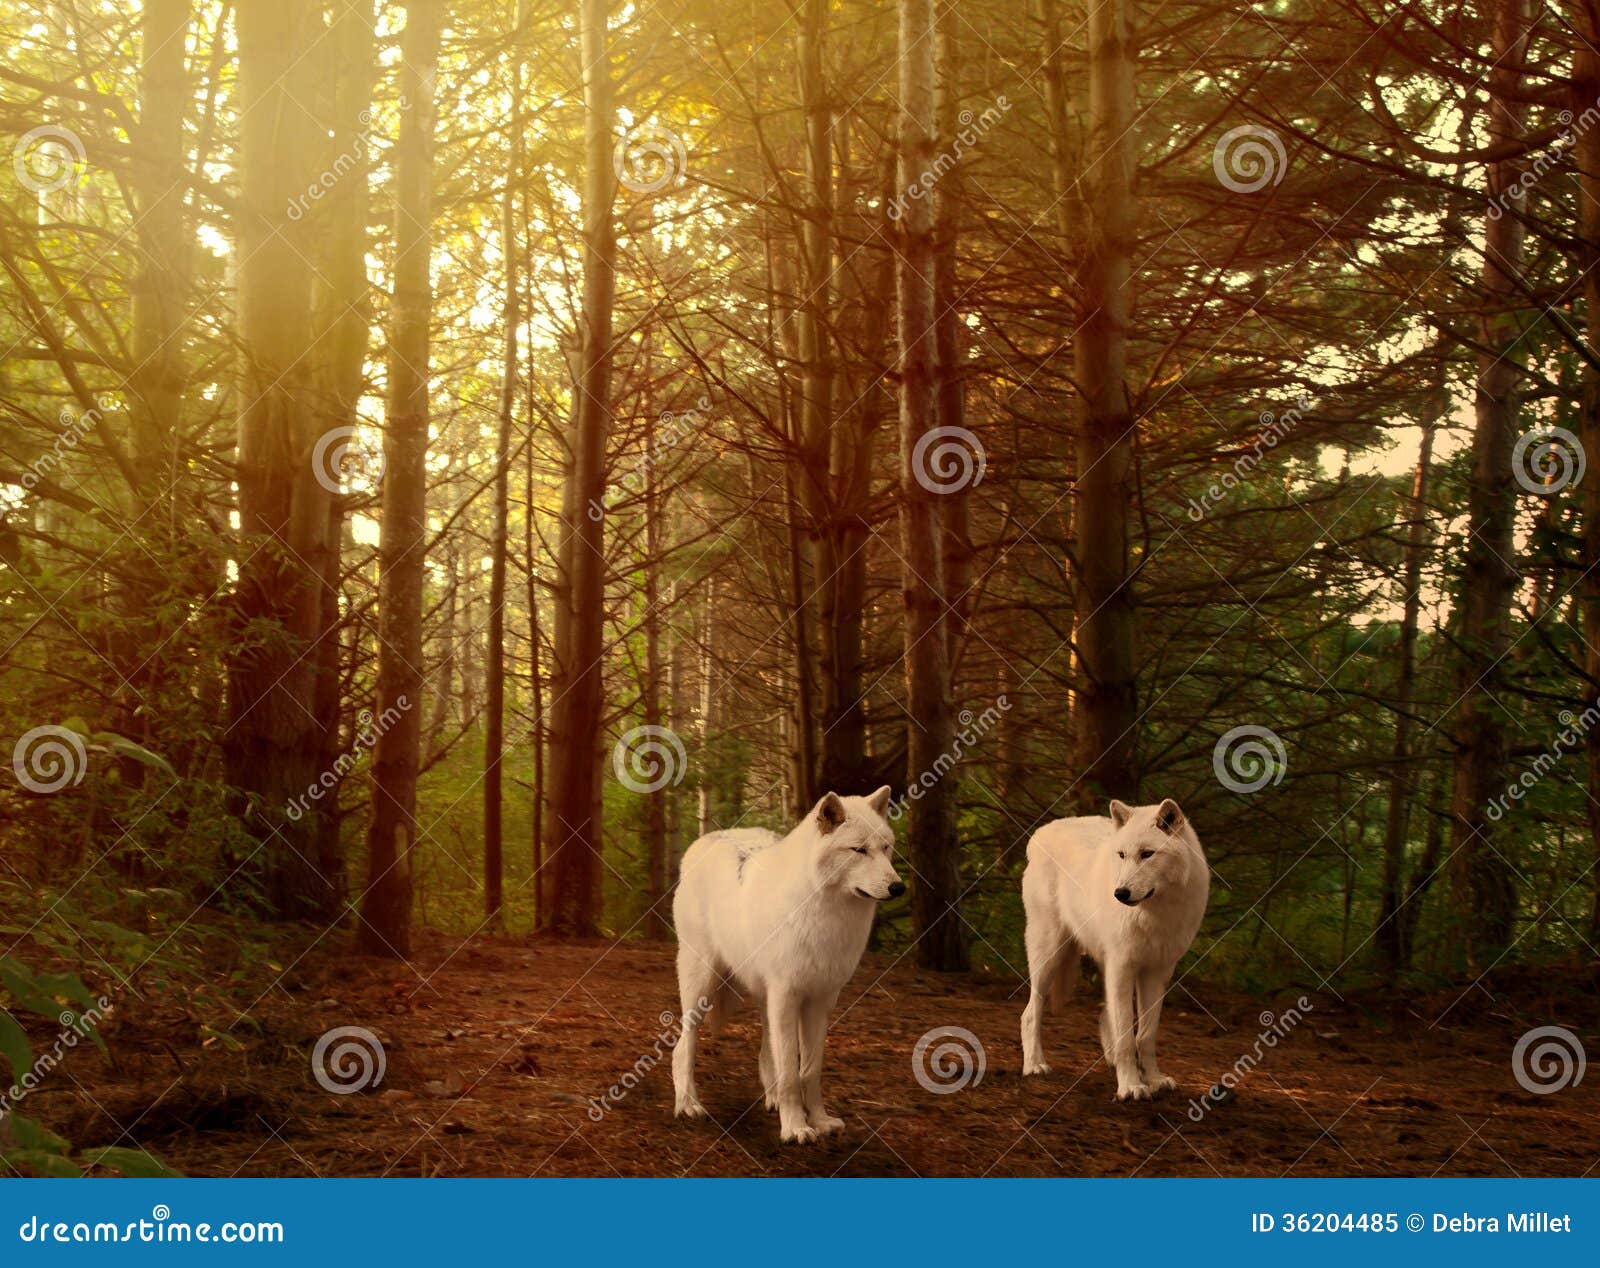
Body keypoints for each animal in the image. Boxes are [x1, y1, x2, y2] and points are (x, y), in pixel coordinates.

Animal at [671, 787, 904, 1143]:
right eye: (859, 850)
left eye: (886, 848)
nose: (898, 887)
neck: (825, 912)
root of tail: (706, 841)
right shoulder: (787, 995)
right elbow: (792, 1074)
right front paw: (795, 1127)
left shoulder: (820, 1002)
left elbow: (808, 1070)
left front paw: (818, 1121)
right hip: (703, 985)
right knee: (683, 1046)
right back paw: (688, 1105)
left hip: (764, 998)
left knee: (767, 1053)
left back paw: (773, 1101)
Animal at [1019, 798, 1208, 1100]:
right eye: (1121, 855)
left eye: (1147, 854)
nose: (1120, 894)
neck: (1155, 913)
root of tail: (1041, 833)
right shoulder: (1123, 967)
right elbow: (1126, 1038)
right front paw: (1131, 1086)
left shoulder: (1156, 973)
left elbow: (1145, 1035)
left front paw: (1153, 1079)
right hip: (1049, 953)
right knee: (1030, 1013)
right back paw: (1035, 1065)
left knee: (1105, 1014)